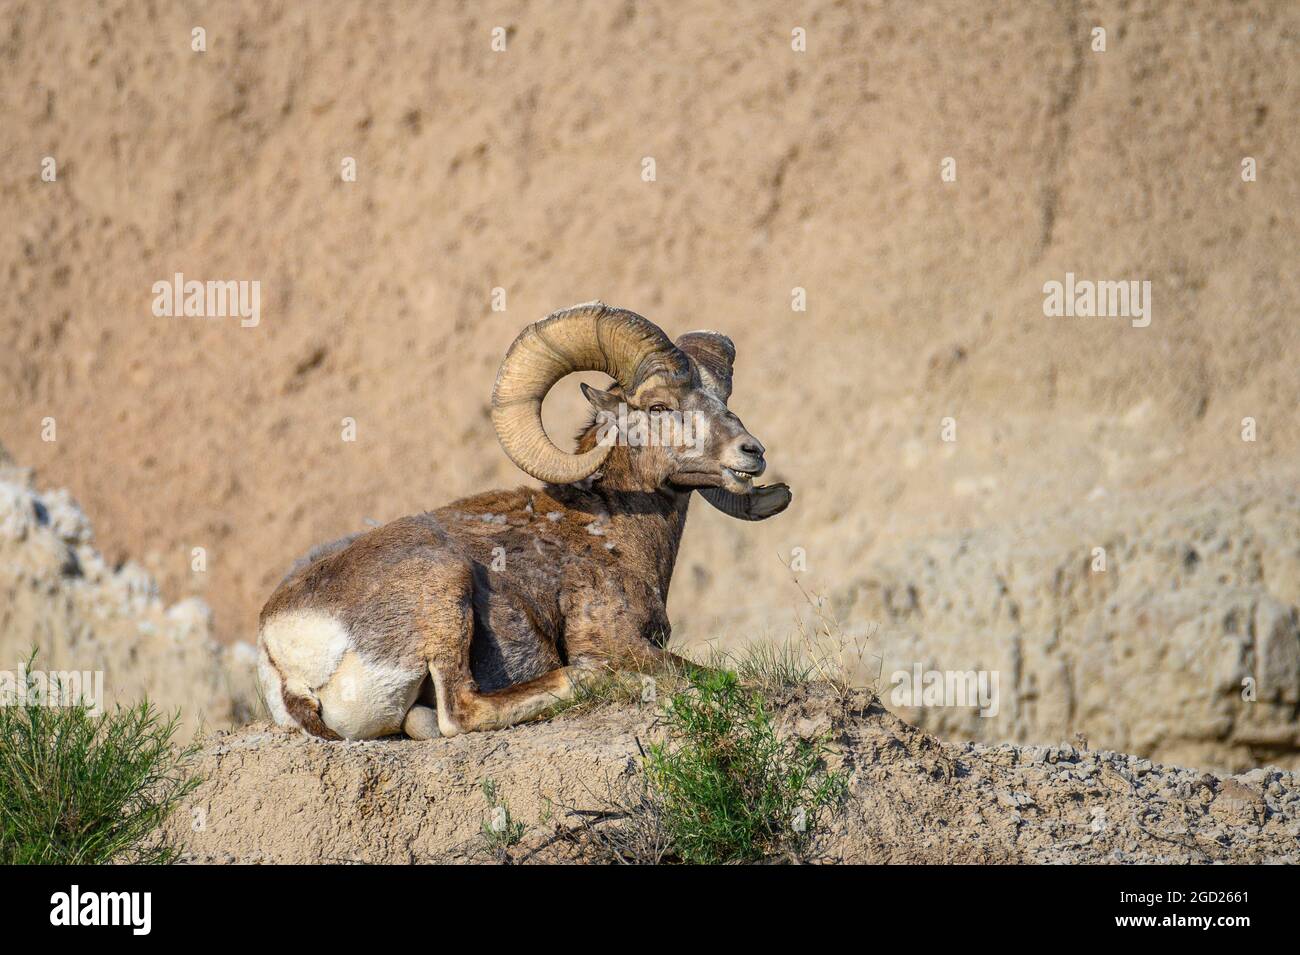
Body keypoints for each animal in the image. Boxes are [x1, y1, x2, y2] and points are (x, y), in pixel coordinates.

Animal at [256, 302, 792, 740]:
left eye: (724, 402)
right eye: (659, 407)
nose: (752, 453)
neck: (609, 531)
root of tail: (284, 651)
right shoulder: (617, 641)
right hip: (444, 588)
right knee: (459, 713)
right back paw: (589, 680)